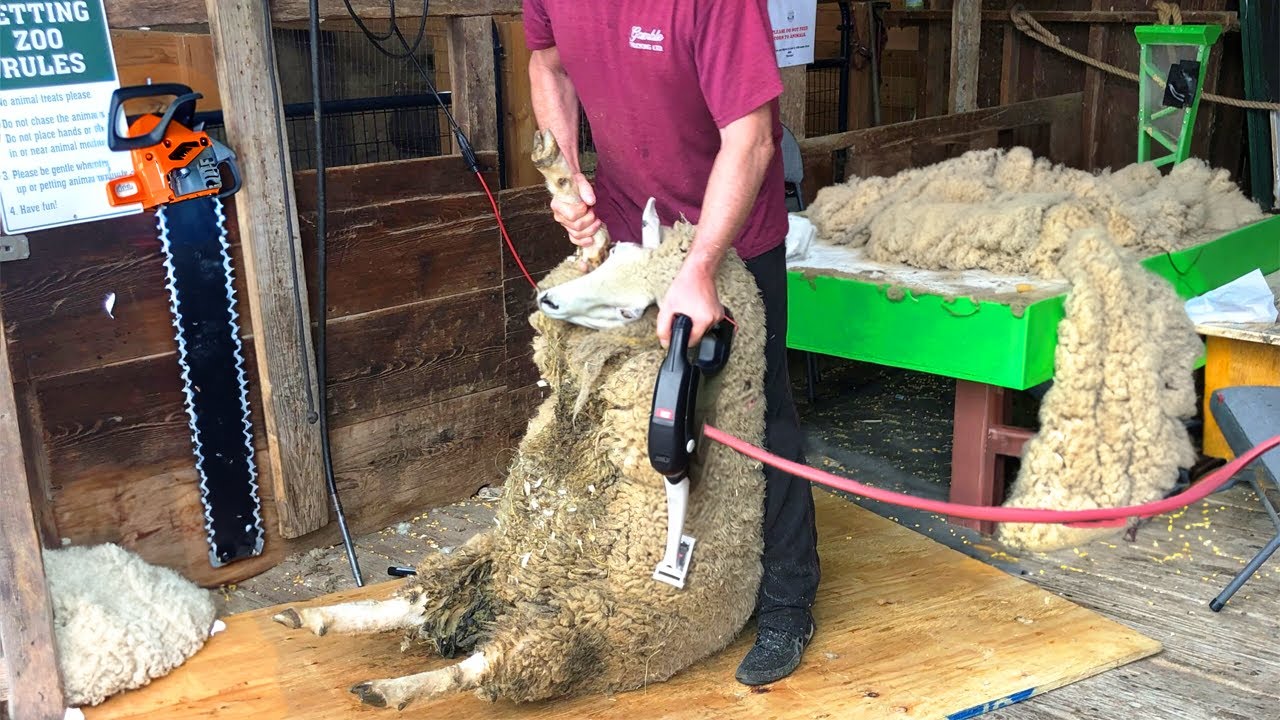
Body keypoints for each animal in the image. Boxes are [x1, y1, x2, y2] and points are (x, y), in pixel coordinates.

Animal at [271, 136, 771, 710]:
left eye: (635, 310)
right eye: (620, 260)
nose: (548, 300)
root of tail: (508, 599)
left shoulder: (649, 431)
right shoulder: (570, 356)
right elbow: (586, 255)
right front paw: (562, 180)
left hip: (570, 633)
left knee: (475, 666)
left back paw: (387, 687)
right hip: (484, 559)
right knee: (413, 603)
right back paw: (313, 616)